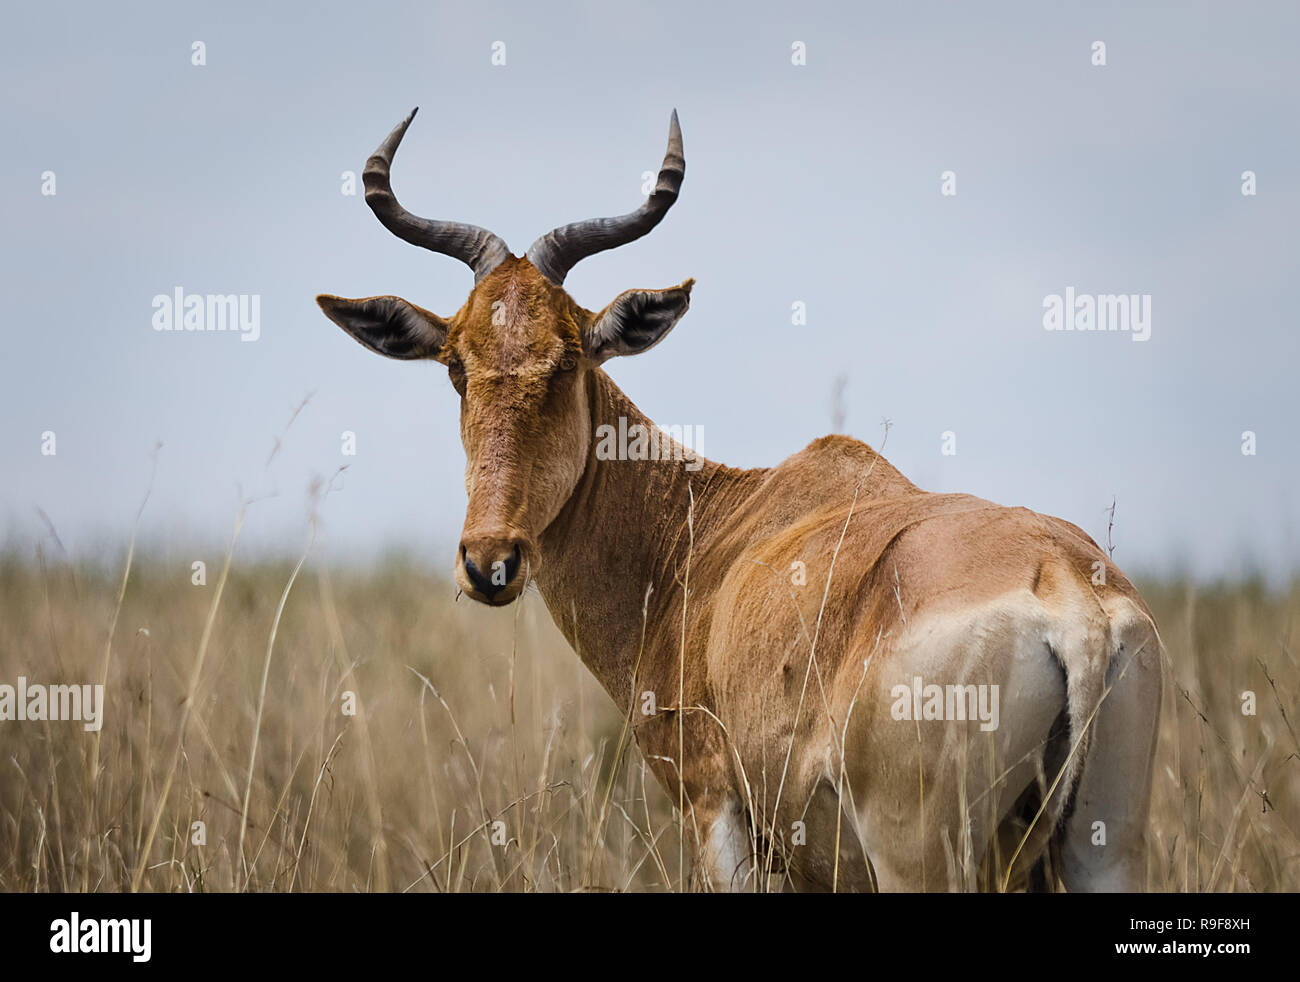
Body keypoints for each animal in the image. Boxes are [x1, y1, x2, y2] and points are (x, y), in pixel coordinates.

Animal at [318, 108, 1164, 892]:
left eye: (568, 358)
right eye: (456, 363)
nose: (489, 561)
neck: (708, 534)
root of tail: (1069, 596)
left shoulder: (717, 813)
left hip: (917, 856)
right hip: (1102, 853)